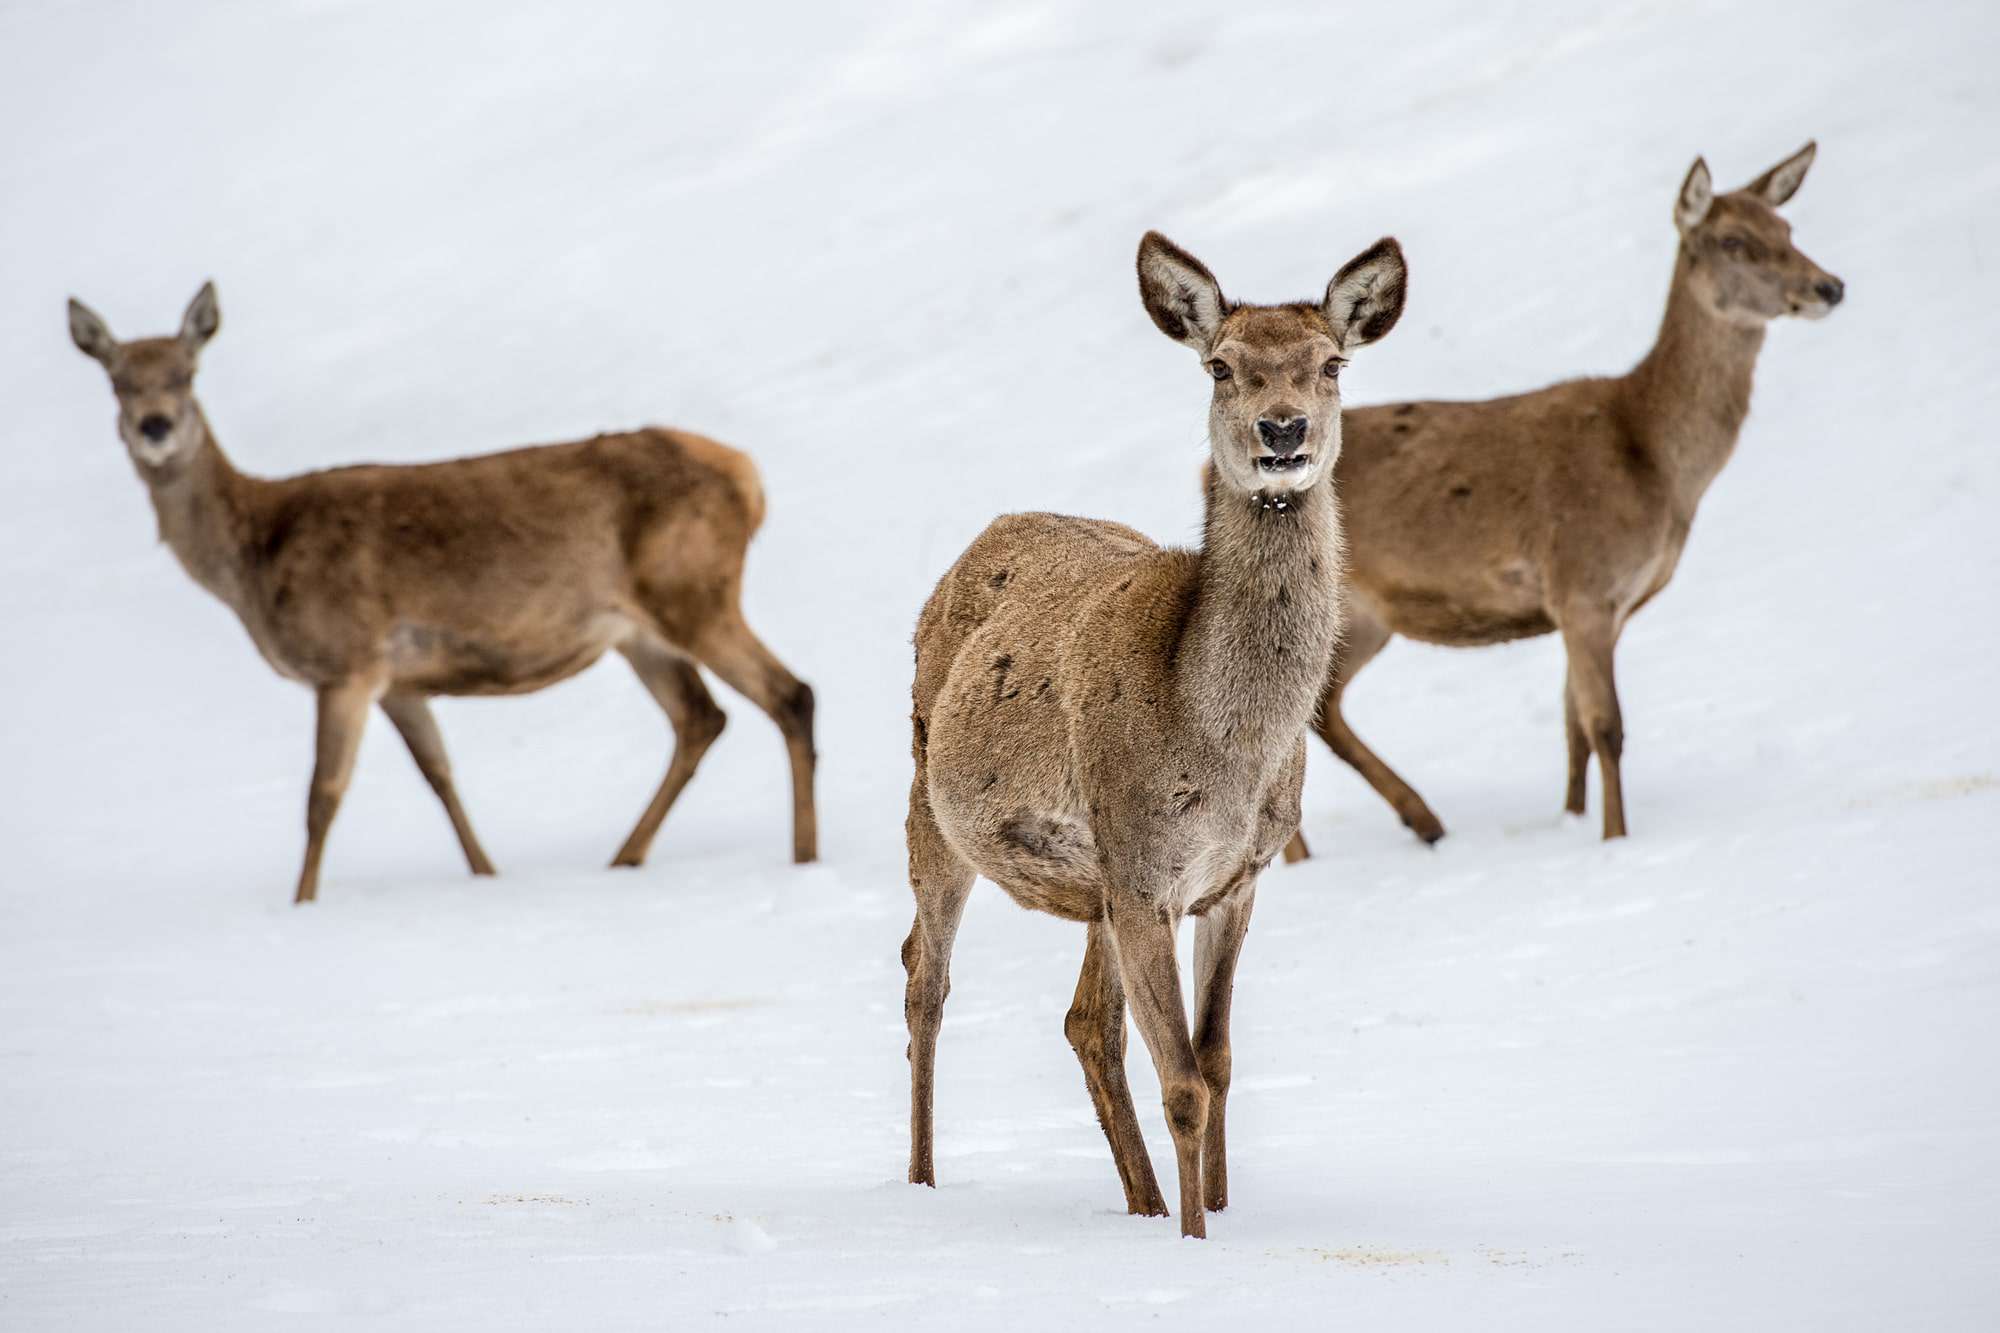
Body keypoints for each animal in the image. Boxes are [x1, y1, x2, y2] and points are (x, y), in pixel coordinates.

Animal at [67, 283, 817, 904]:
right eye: (117, 382)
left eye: (186, 375)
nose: (156, 425)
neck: (253, 557)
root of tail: (749, 477)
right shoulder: (400, 680)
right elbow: (440, 774)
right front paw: (485, 874)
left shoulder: (347, 660)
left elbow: (322, 796)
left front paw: (302, 904)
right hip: (639, 633)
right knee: (701, 717)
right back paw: (625, 858)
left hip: (695, 592)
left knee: (789, 694)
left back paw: (802, 858)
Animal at [902, 230, 1407, 1238]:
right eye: (1221, 366)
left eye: (1332, 363)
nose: (1282, 431)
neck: (1229, 744)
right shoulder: (1144, 874)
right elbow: (1182, 1084)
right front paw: (1192, 1235)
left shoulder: (1233, 880)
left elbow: (1217, 1062)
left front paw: (1212, 1209)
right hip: (933, 807)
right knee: (924, 982)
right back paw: (923, 1182)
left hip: (1095, 886)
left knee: (1084, 1022)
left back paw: (1136, 1201)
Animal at [1283, 142, 1842, 856]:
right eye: (1734, 240)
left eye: (1788, 229)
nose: (1829, 286)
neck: (1655, 465)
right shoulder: (1583, 581)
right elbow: (1609, 726)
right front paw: (1615, 838)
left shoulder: (1606, 603)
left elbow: (1573, 723)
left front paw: (1571, 821)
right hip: (1348, 606)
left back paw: (1413, 824)